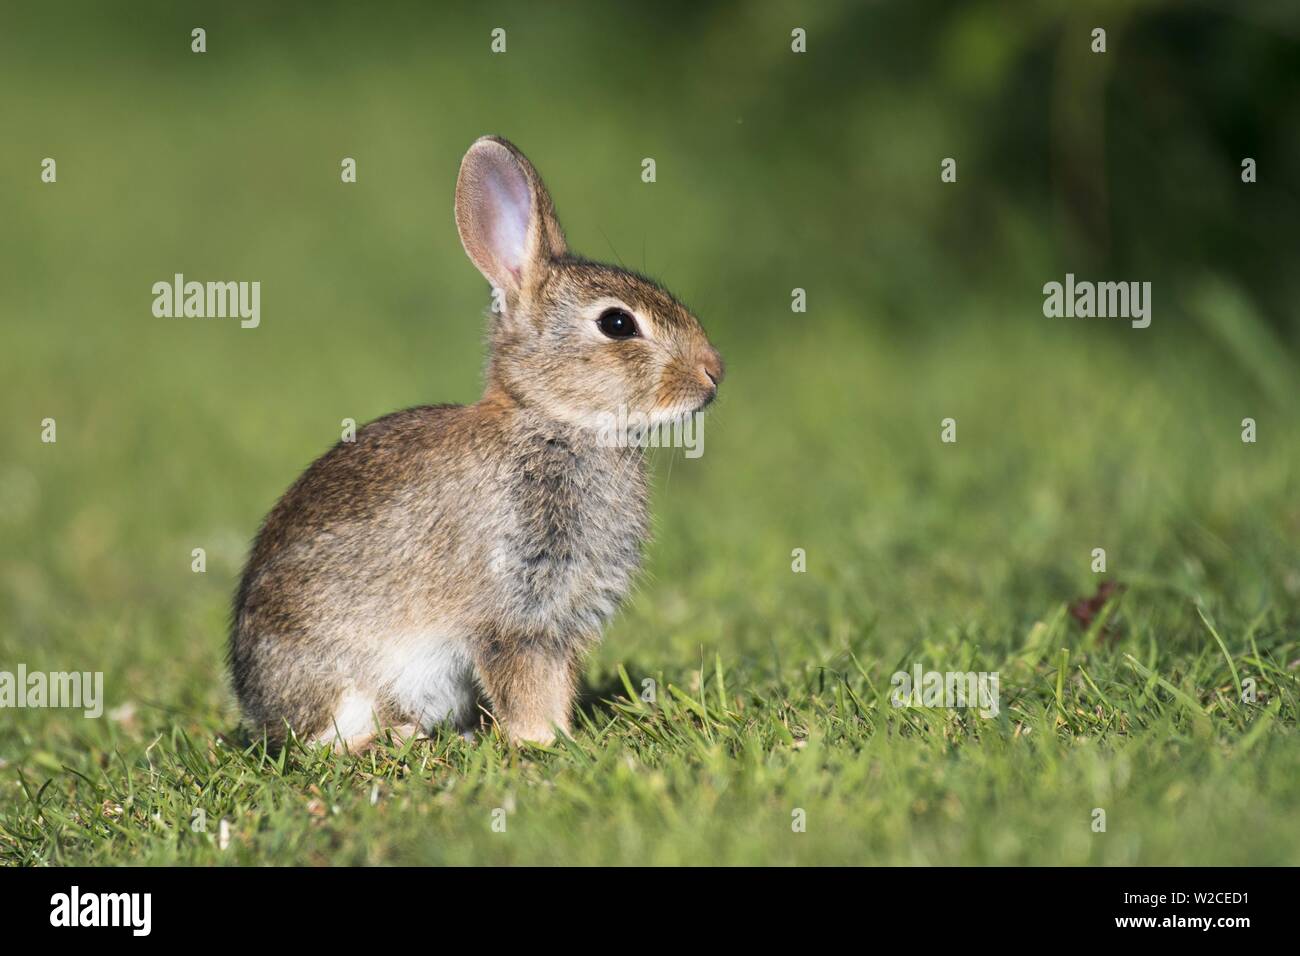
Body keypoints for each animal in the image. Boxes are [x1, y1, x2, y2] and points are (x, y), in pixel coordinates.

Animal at [228, 136, 724, 749]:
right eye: (617, 324)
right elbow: (524, 683)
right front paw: (541, 742)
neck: (552, 421)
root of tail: (256, 705)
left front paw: (561, 736)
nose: (714, 372)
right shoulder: (512, 615)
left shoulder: (559, 621)